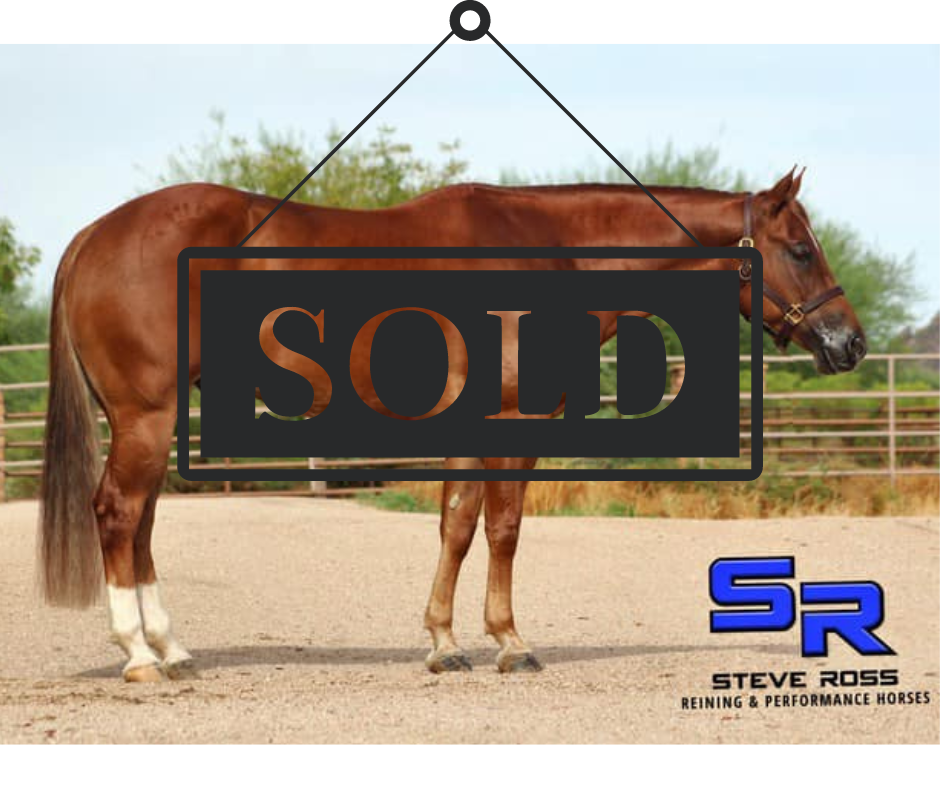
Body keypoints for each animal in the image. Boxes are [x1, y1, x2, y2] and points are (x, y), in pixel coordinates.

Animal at [39, 168, 866, 681]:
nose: (849, 343)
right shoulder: (513, 423)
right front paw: (510, 643)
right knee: (118, 513)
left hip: (152, 422)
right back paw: (139, 656)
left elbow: (456, 526)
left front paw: (444, 643)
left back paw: (172, 649)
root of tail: (92, 235)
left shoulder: (470, 430)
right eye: (800, 248)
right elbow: (500, 530)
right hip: (146, 418)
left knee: (142, 522)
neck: (551, 255)